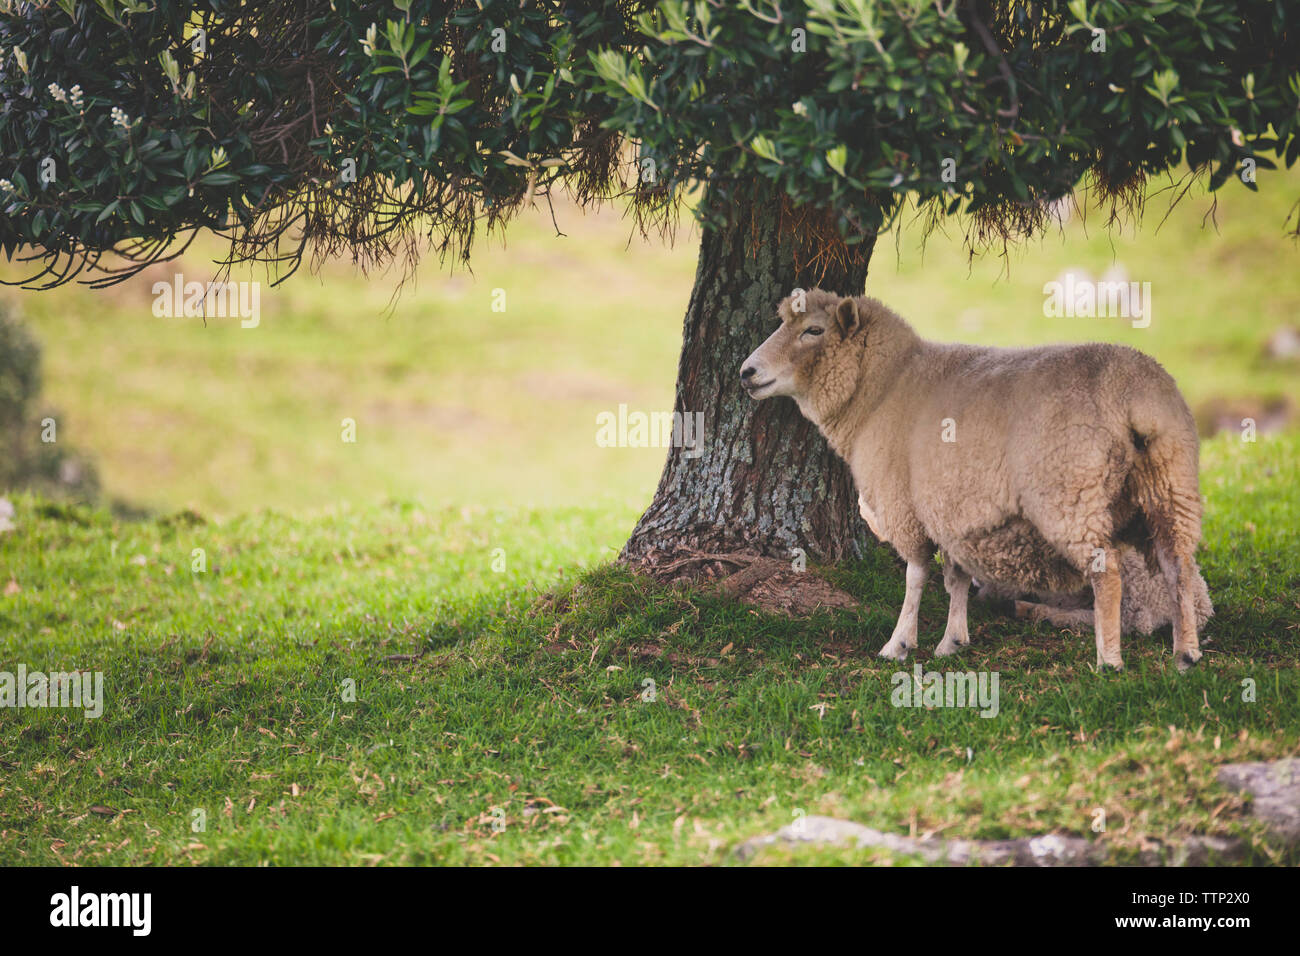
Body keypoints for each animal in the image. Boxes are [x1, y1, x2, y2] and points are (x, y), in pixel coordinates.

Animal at [740, 289, 1208, 671]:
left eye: (814, 330)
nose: (746, 372)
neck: (881, 389)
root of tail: (1130, 396)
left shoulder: (906, 506)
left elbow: (915, 578)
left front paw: (899, 644)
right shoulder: (954, 511)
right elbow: (957, 580)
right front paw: (953, 641)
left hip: (1072, 493)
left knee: (1107, 572)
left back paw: (1108, 659)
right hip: (1171, 483)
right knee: (1178, 566)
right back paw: (1186, 653)